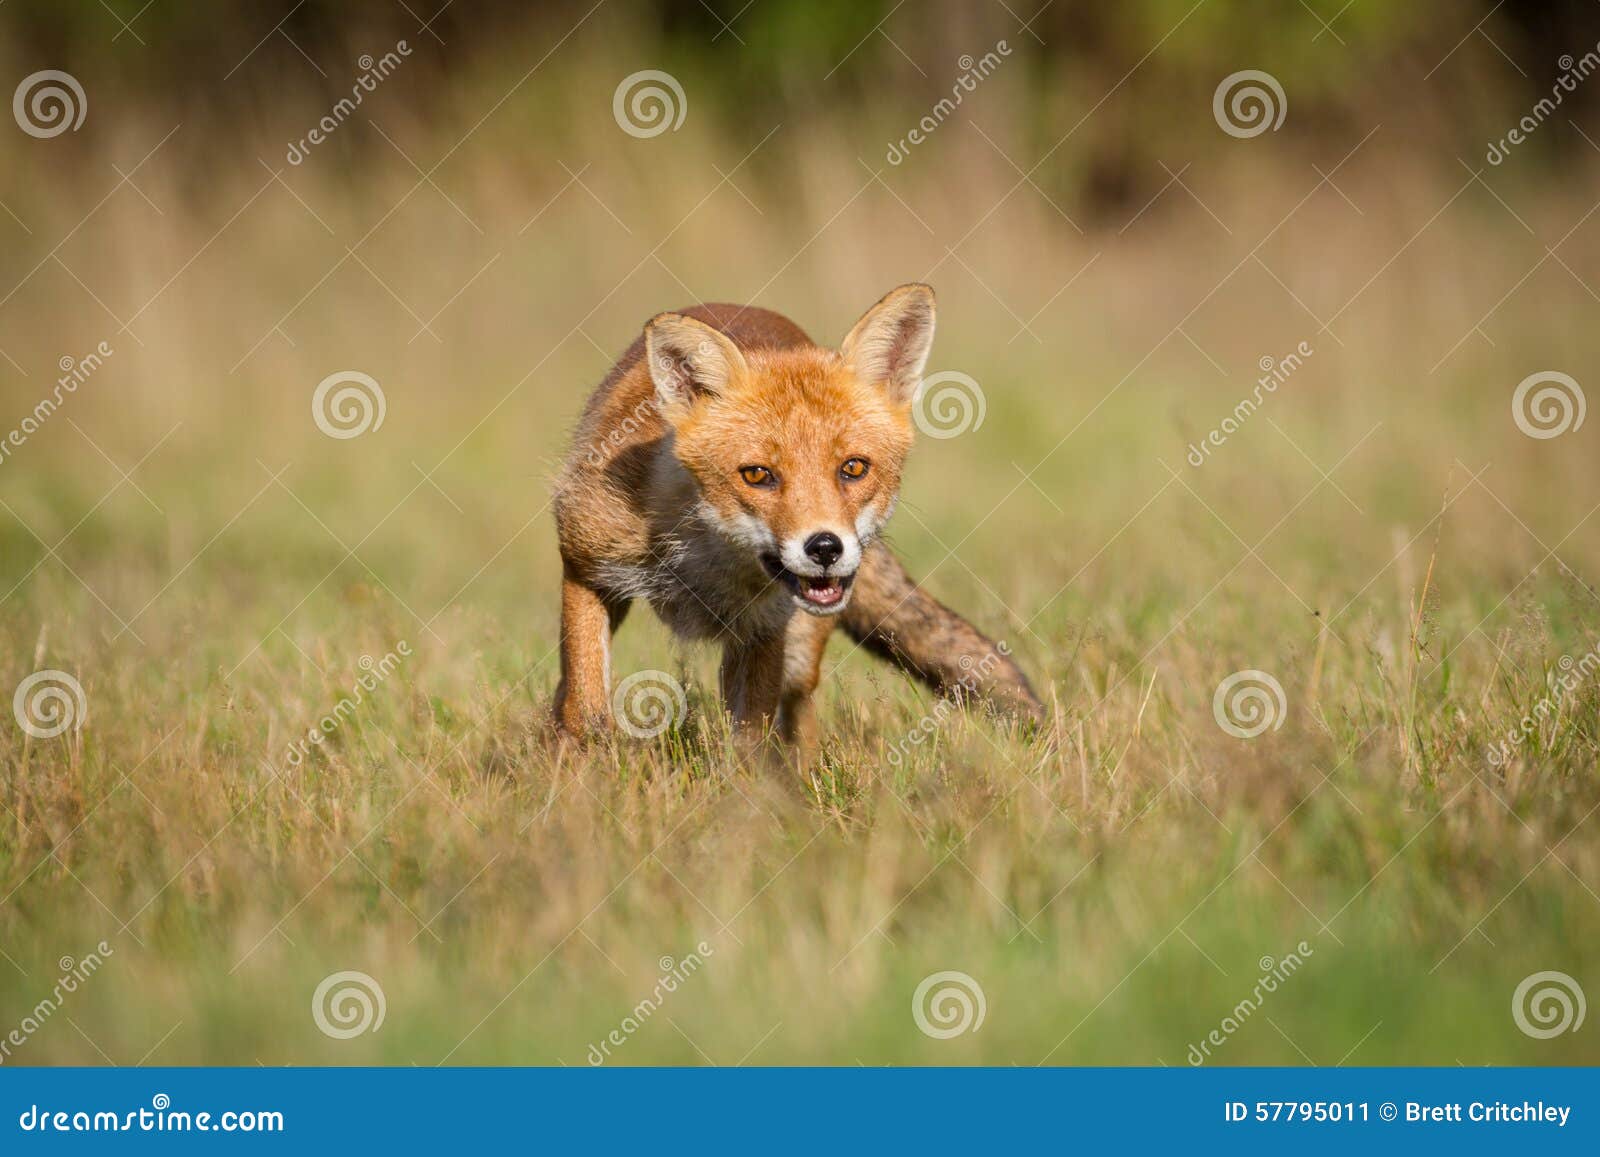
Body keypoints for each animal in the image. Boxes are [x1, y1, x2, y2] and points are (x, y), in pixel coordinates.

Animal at [551, 283, 1044, 764]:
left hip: (797, 650)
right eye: (757, 475)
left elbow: (751, 744)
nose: (825, 548)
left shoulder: (768, 626)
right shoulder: (585, 565)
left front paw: (751, 793)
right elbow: (586, 708)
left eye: (853, 468)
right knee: (563, 692)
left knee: (799, 712)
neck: (705, 557)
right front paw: (584, 777)